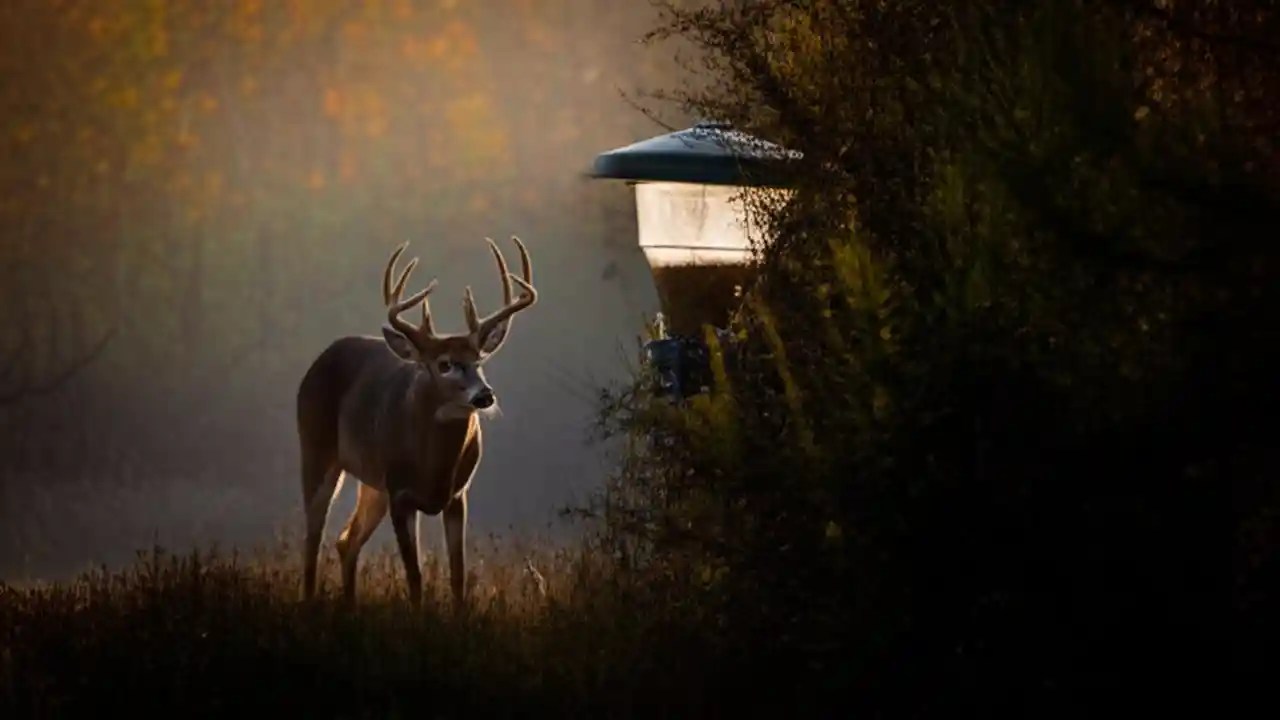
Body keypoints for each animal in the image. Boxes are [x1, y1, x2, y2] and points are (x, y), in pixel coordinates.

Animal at [295, 236, 537, 612]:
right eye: (444, 364)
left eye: (479, 360)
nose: (485, 395)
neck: (434, 466)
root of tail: (318, 361)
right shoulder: (401, 493)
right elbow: (415, 575)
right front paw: (419, 617)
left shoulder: (457, 495)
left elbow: (458, 573)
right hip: (316, 449)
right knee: (312, 536)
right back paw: (310, 603)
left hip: (373, 484)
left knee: (346, 540)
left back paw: (350, 607)